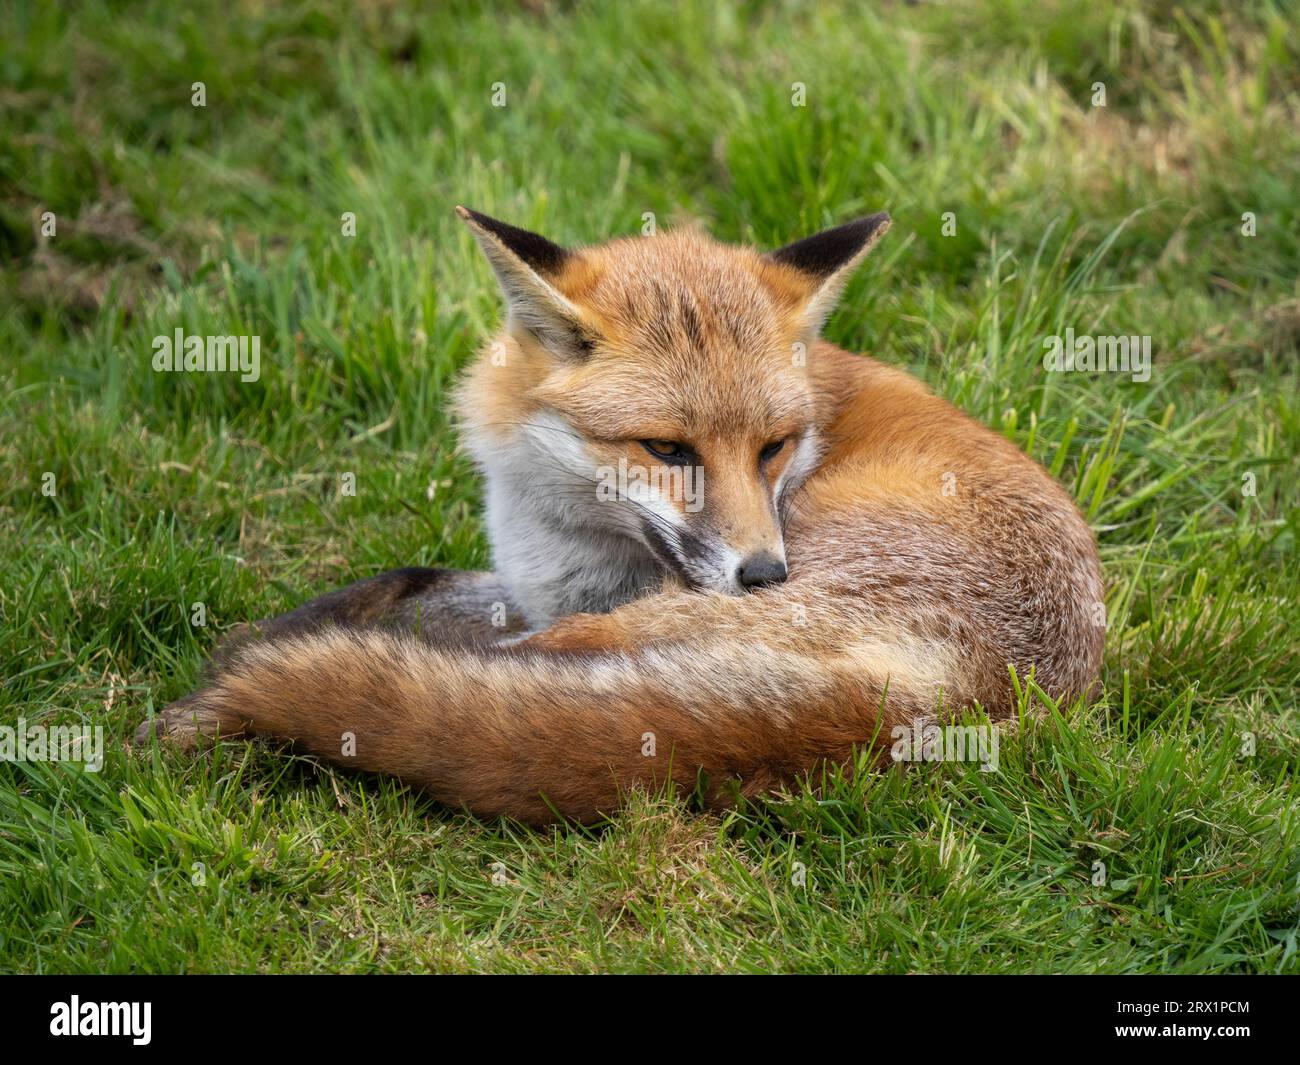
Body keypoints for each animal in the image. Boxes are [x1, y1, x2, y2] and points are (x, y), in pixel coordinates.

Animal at [134, 206, 1104, 824]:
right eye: (667, 448)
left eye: (774, 446)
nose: (767, 573)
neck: (563, 530)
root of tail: (974, 700)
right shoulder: (533, 589)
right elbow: (408, 575)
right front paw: (277, 624)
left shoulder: (584, 609)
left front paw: (244, 660)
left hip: (651, 629)